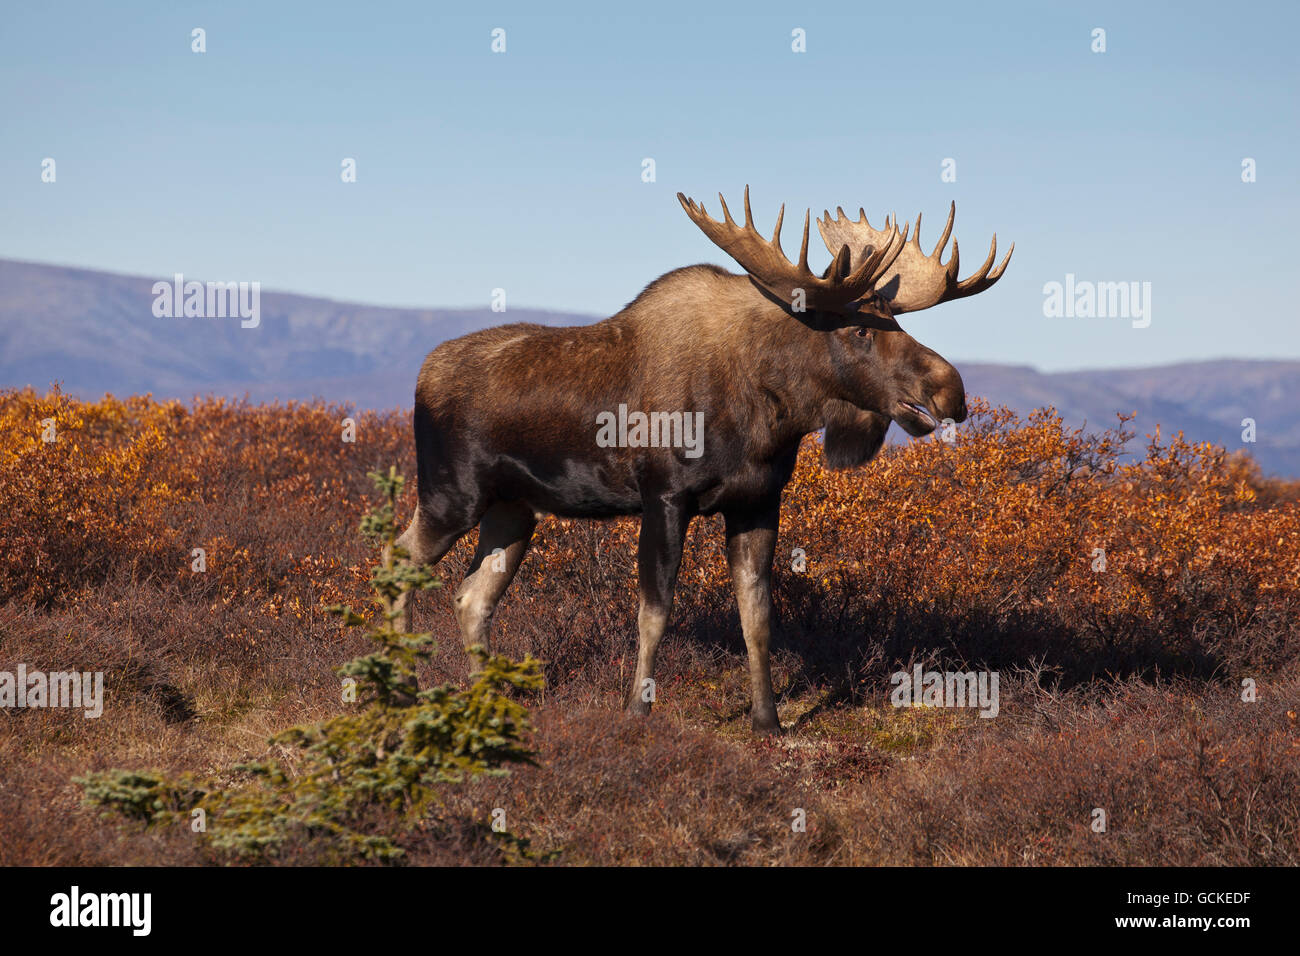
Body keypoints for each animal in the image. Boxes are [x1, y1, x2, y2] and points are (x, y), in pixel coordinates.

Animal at [395, 187, 1012, 733]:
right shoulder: (666, 496)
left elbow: (757, 617)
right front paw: (637, 710)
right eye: (860, 328)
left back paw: (488, 696)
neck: (771, 410)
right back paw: (403, 688)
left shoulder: (757, 501)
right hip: (451, 496)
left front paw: (767, 720)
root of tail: (422, 373)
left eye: (899, 321)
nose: (950, 391)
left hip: (514, 511)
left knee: (470, 598)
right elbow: (655, 612)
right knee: (396, 557)